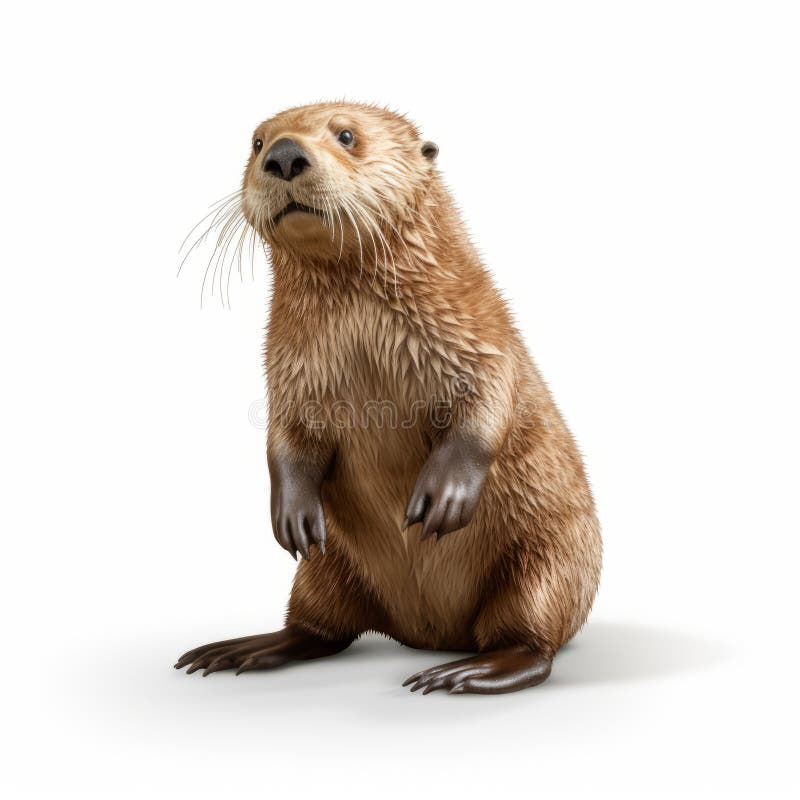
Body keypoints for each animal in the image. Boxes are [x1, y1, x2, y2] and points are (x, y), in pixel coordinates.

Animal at [175, 102, 602, 694]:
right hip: (324, 571)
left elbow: (490, 399)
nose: (284, 154)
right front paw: (292, 514)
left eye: (346, 135)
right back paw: (245, 649)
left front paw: (441, 497)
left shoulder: (478, 329)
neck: (362, 333)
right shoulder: (288, 367)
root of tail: (431, 634)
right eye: (256, 142)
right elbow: (285, 436)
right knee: (317, 628)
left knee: (534, 641)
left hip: (549, 563)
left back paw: (469, 672)